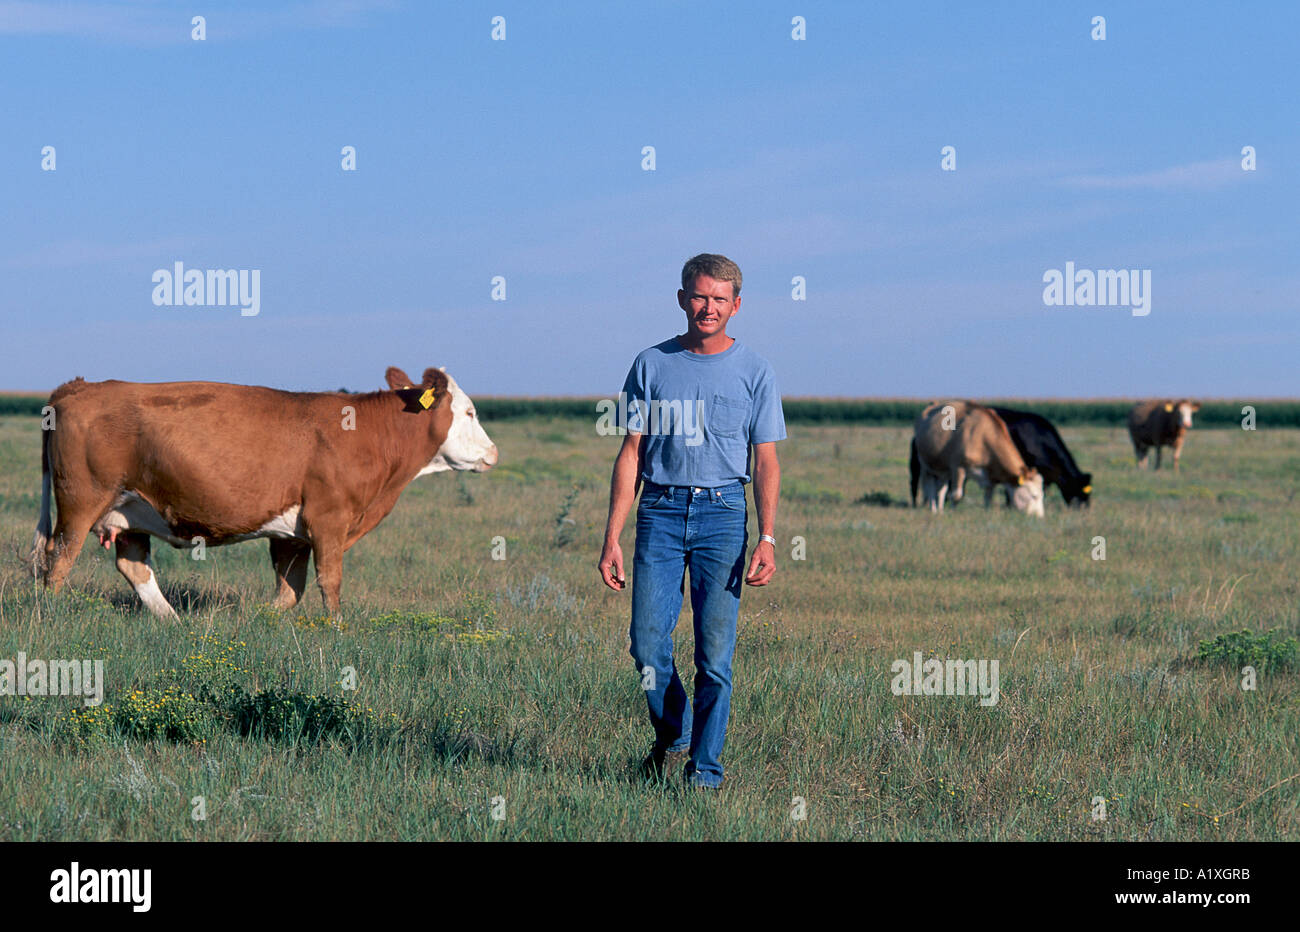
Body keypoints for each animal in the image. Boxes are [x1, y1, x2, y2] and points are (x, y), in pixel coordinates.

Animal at [30, 366, 497, 618]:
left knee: (133, 566)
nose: (493, 452)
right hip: (81, 503)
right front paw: (338, 630)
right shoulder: (329, 519)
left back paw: (174, 622)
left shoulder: (293, 534)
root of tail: (80, 386)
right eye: (470, 412)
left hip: (130, 511)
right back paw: (50, 615)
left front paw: (257, 621)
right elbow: (330, 583)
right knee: (58, 561)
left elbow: (290, 592)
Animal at [912, 401, 1044, 517]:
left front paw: (987, 513)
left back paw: (940, 510)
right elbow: (956, 495)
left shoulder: (991, 476)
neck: (983, 437)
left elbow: (988, 497)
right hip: (926, 466)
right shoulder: (958, 467)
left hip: (943, 470)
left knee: (941, 489)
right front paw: (953, 512)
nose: (1040, 517)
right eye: (1034, 496)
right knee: (929, 487)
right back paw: (933, 509)